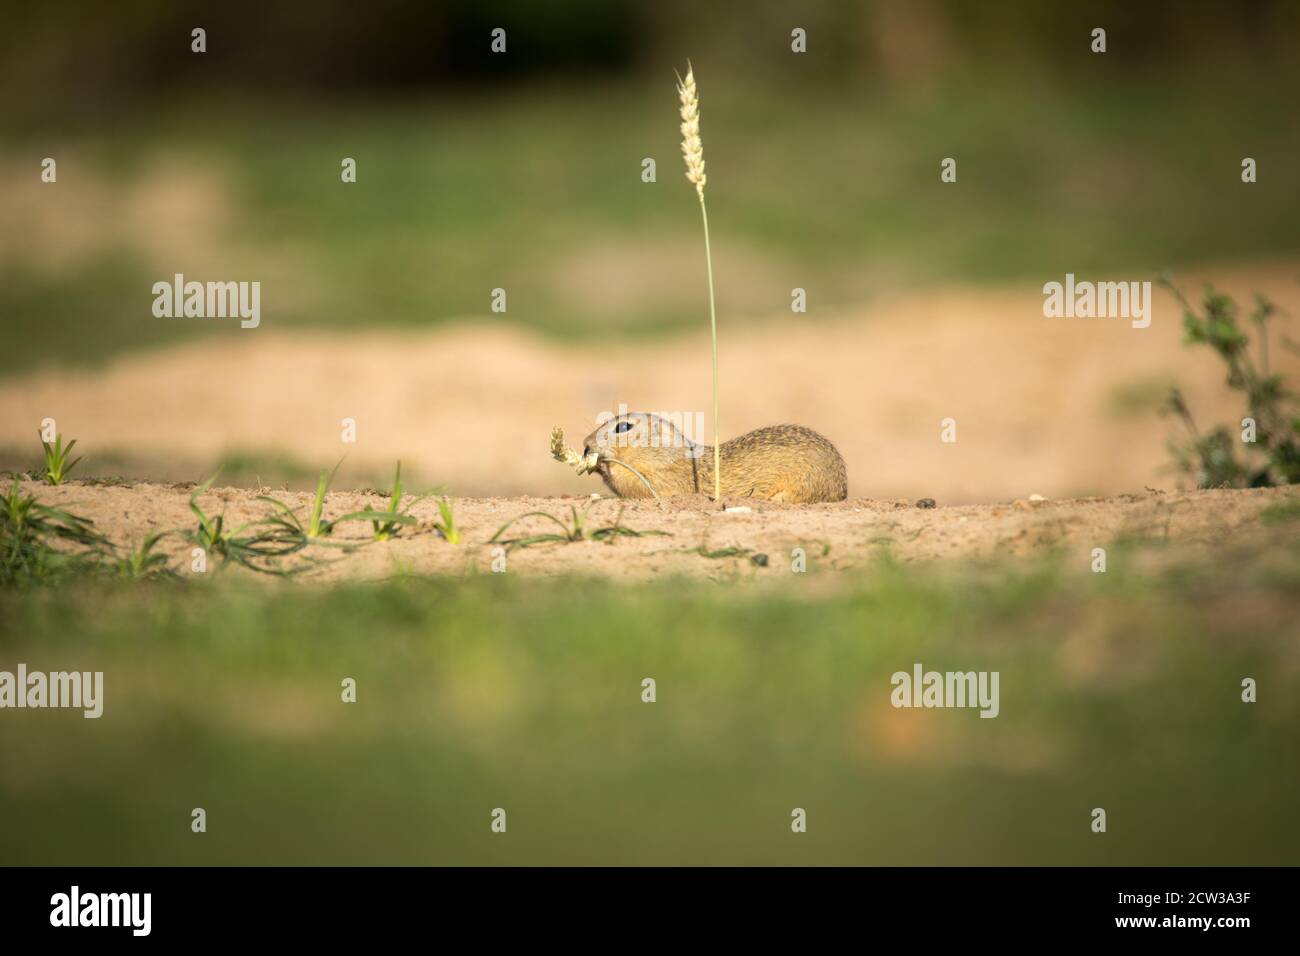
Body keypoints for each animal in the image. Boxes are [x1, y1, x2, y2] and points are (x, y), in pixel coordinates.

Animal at [581, 412, 847, 503]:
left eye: (623, 427)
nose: (585, 445)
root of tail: (842, 489)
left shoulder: (667, 474)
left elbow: (643, 486)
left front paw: (603, 464)